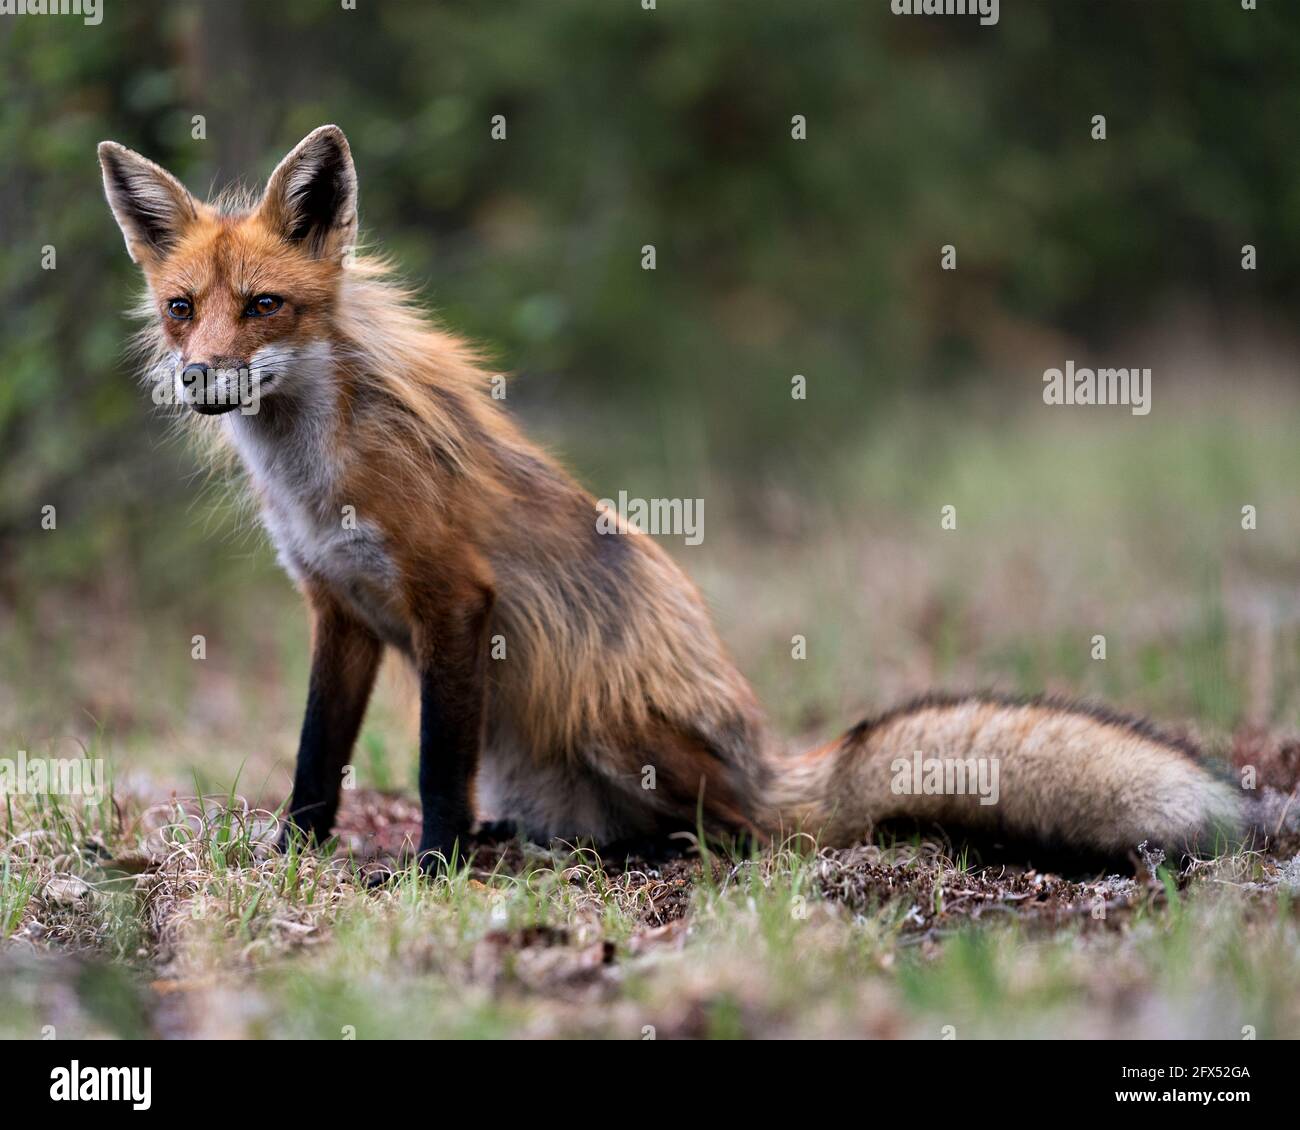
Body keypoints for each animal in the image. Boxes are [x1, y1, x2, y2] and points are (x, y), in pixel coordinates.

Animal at [98, 124, 1253, 871]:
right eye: (182, 307)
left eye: (264, 305)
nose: (202, 378)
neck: (311, 472)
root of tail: (767, 764)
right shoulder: (338, 609)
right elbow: (314, 756)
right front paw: (294, 854)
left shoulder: (450, 600)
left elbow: (431, 767)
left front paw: (432, 868)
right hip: (536, 759)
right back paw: (531, 844)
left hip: (611, 717)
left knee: (733, 836)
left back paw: (622, 860)